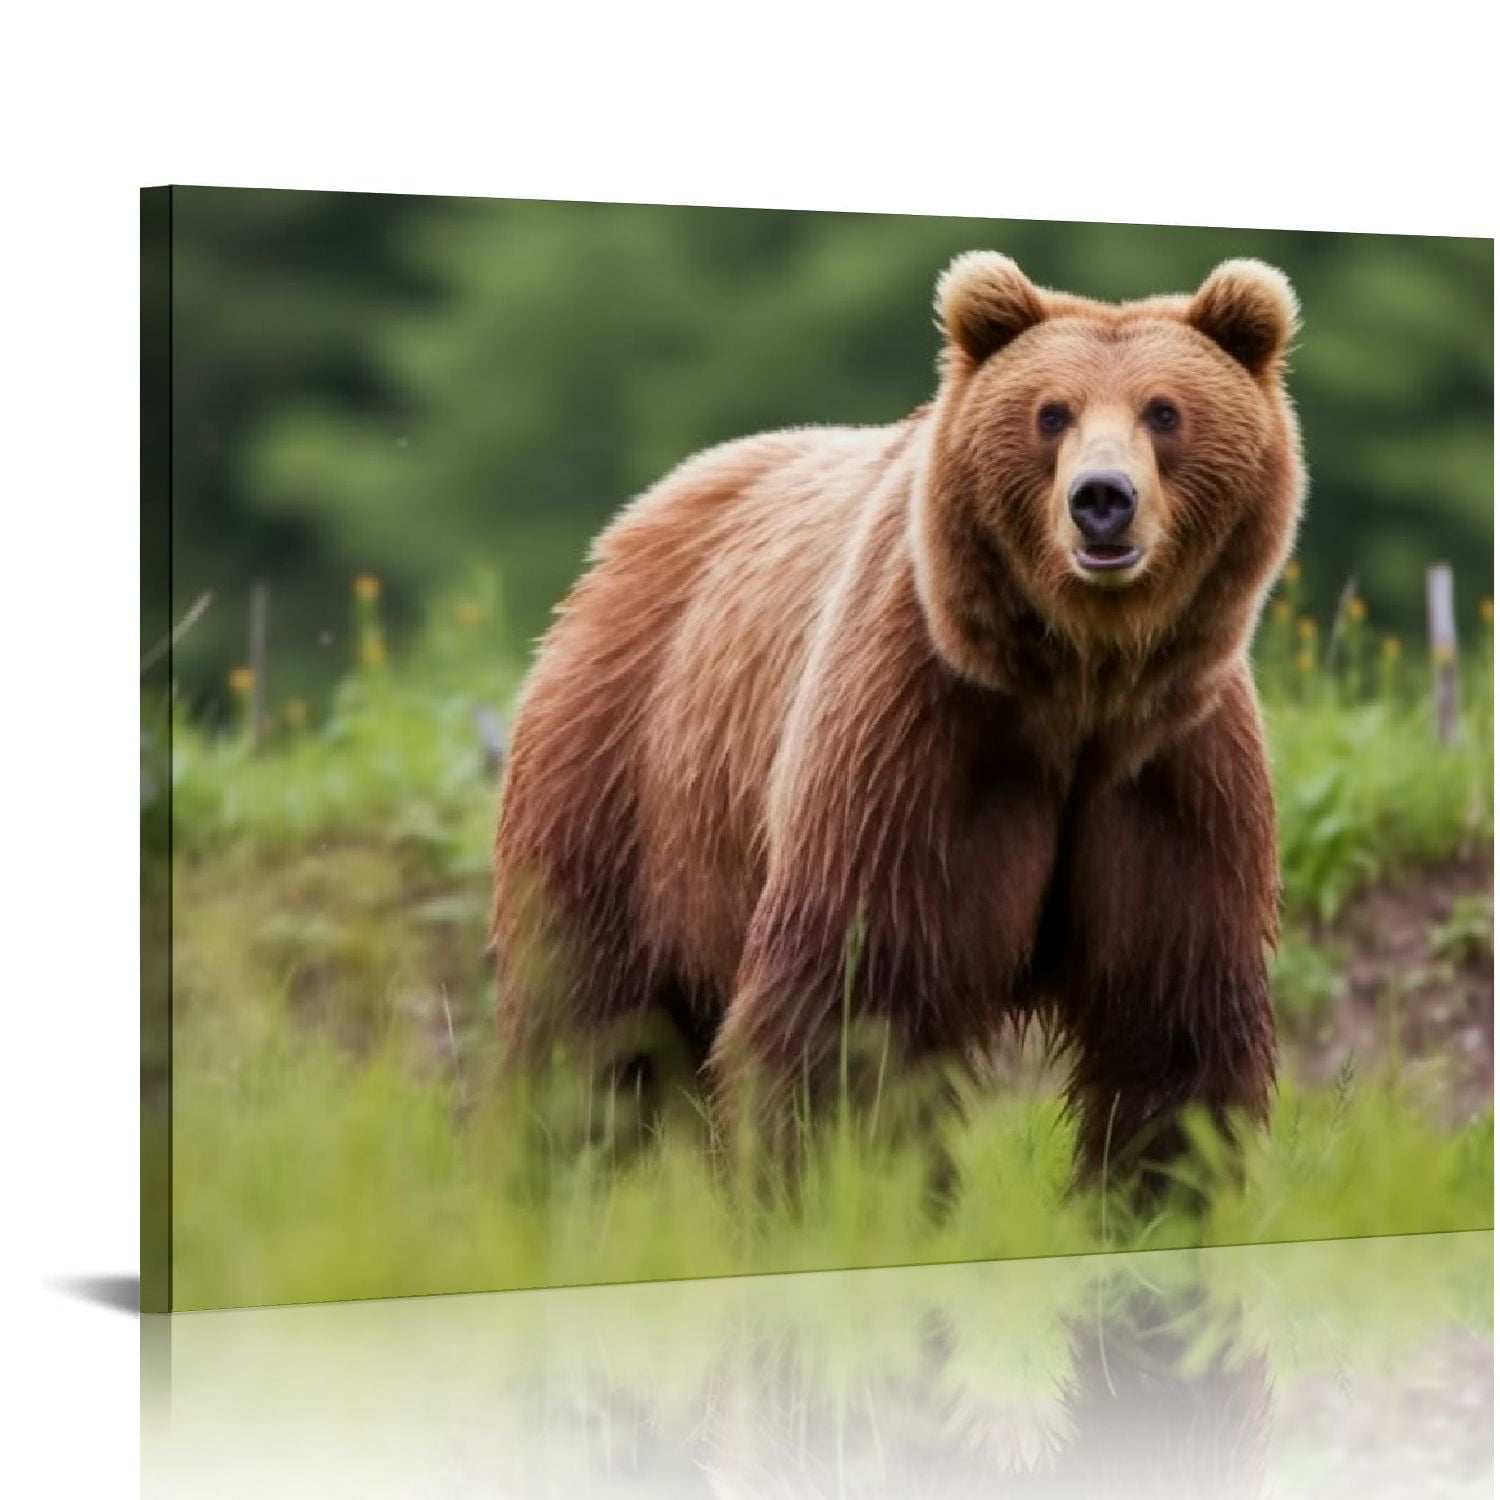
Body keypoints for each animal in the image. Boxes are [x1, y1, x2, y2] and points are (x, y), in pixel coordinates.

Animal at [491, 250, 1304, 1195]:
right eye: (1051, 413)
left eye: (1165, 411)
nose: (1103, 499)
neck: (1077, 688)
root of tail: (632, 522)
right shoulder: (920, 732)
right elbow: (861, 995)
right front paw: (836, 1186)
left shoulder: (1169, 770)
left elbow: (1174, 1021)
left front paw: (1159, 1195)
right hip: (627, 780)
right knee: (584, 1023)